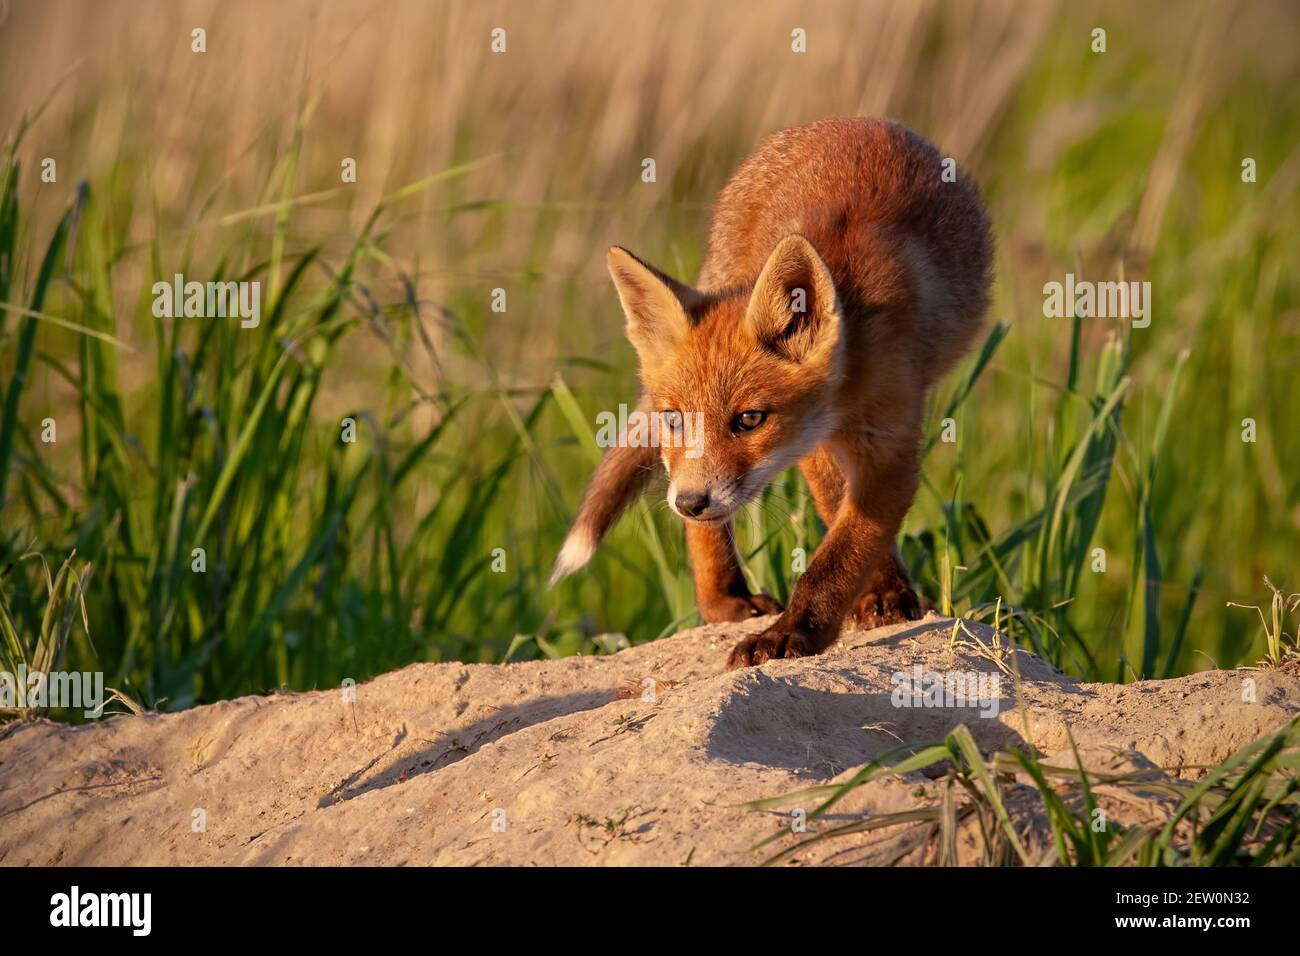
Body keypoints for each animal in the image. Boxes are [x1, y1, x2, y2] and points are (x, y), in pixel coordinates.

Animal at [550, 116, 993, 669]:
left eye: (749, 419)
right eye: (674, 420)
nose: (690, 502)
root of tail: (849, 121)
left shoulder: (889, 442)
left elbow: (843, 550)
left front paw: (814, 623)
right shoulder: (817, 444)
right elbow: (844, 532)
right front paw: (833, 614)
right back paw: (725, 600)